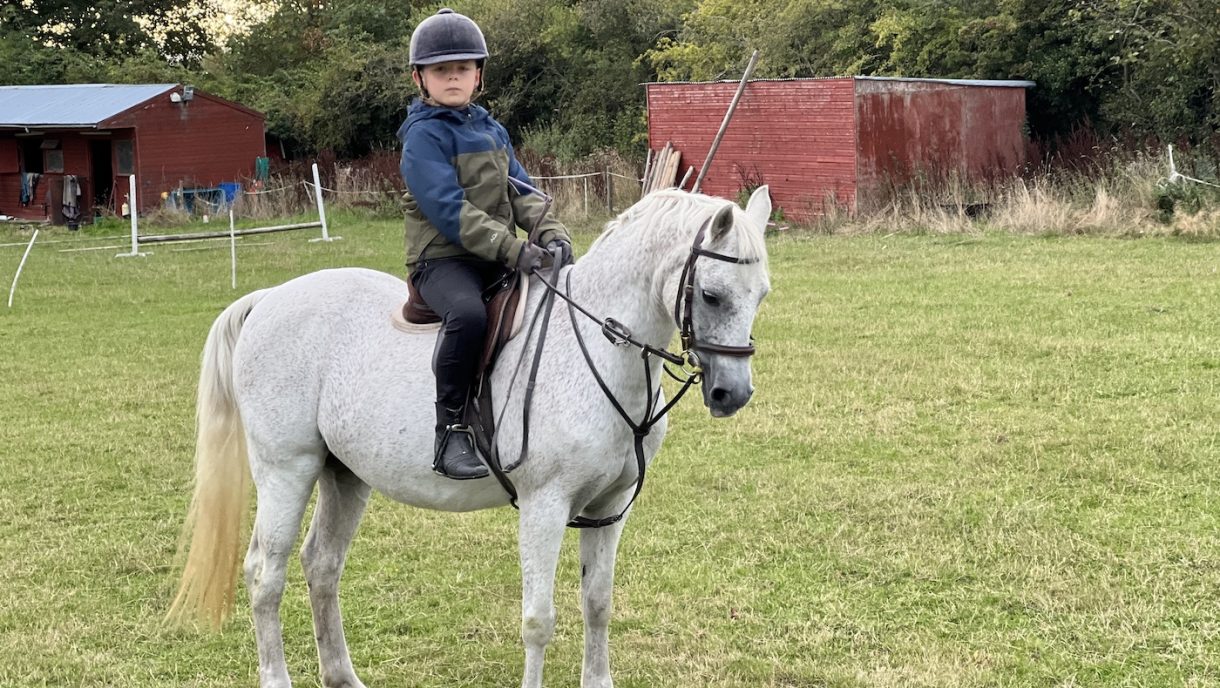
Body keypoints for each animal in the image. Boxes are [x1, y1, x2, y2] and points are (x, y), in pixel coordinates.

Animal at [167, 185, 772, 688]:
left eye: (762, 294)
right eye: (712, 295)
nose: (732, 394)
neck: (599, 346)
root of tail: (269, 298)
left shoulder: (609, 506)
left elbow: (597, 603)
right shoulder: (545, 505)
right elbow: (538, 619)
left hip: (345, 475)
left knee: (322, 565)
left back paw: (343, 677)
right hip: (286, 470)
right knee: (264, 575)